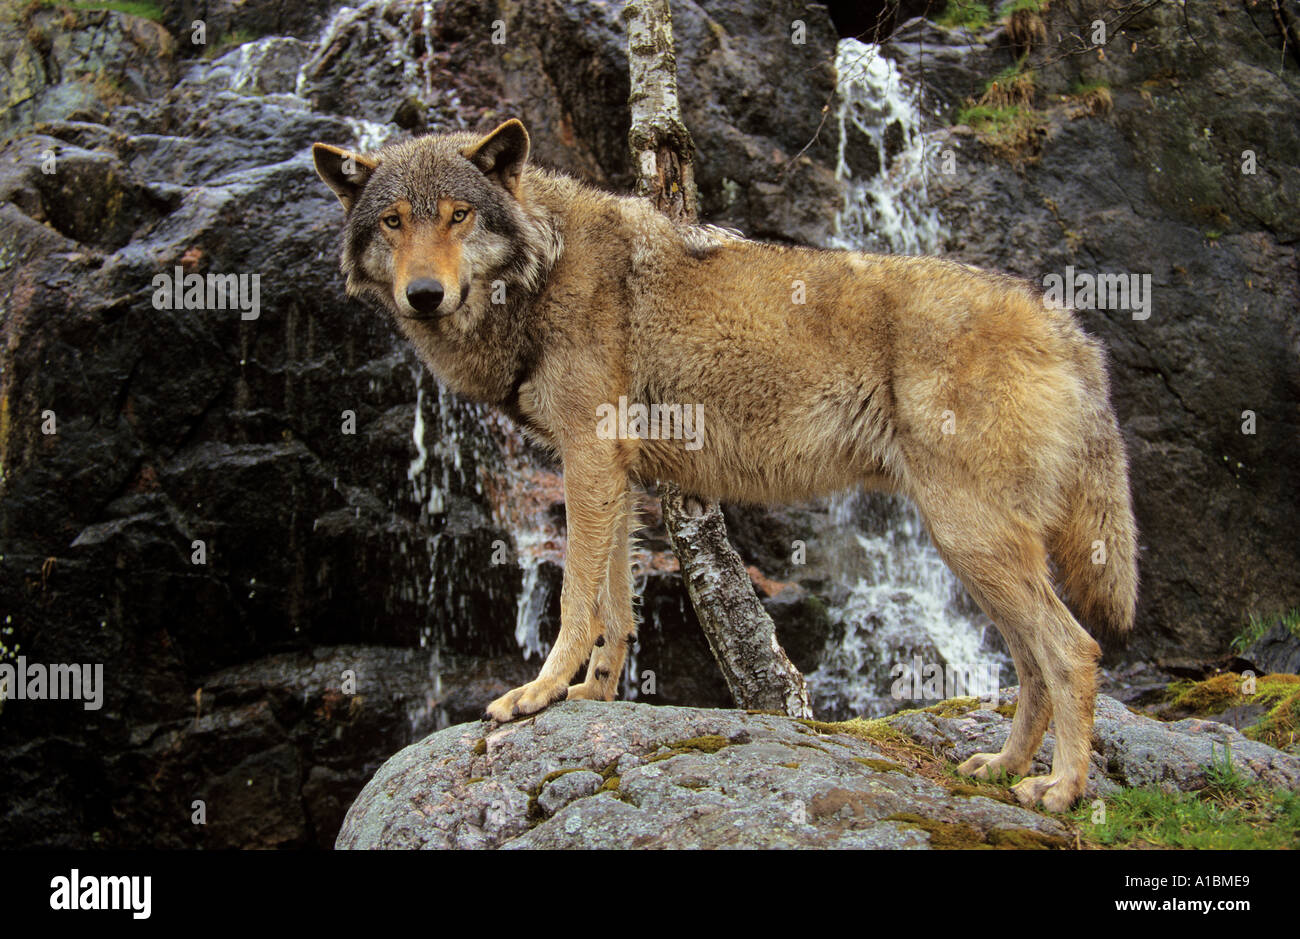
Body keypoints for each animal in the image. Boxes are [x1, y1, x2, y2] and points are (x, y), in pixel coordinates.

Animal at [313, 119, 1138, 812]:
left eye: (458, 215)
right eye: (393, 221)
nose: (424, 294)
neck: (544, 270)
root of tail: (1067, 326)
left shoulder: (588, 461)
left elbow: (575, 602)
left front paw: (538, 692)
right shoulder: (615, 476)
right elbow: (616, 609)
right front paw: (594, 697)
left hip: (969, 540)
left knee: (1074, 650)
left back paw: (1060, 789)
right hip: (972, 552)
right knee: (1031, 662)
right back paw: (1003, 767)